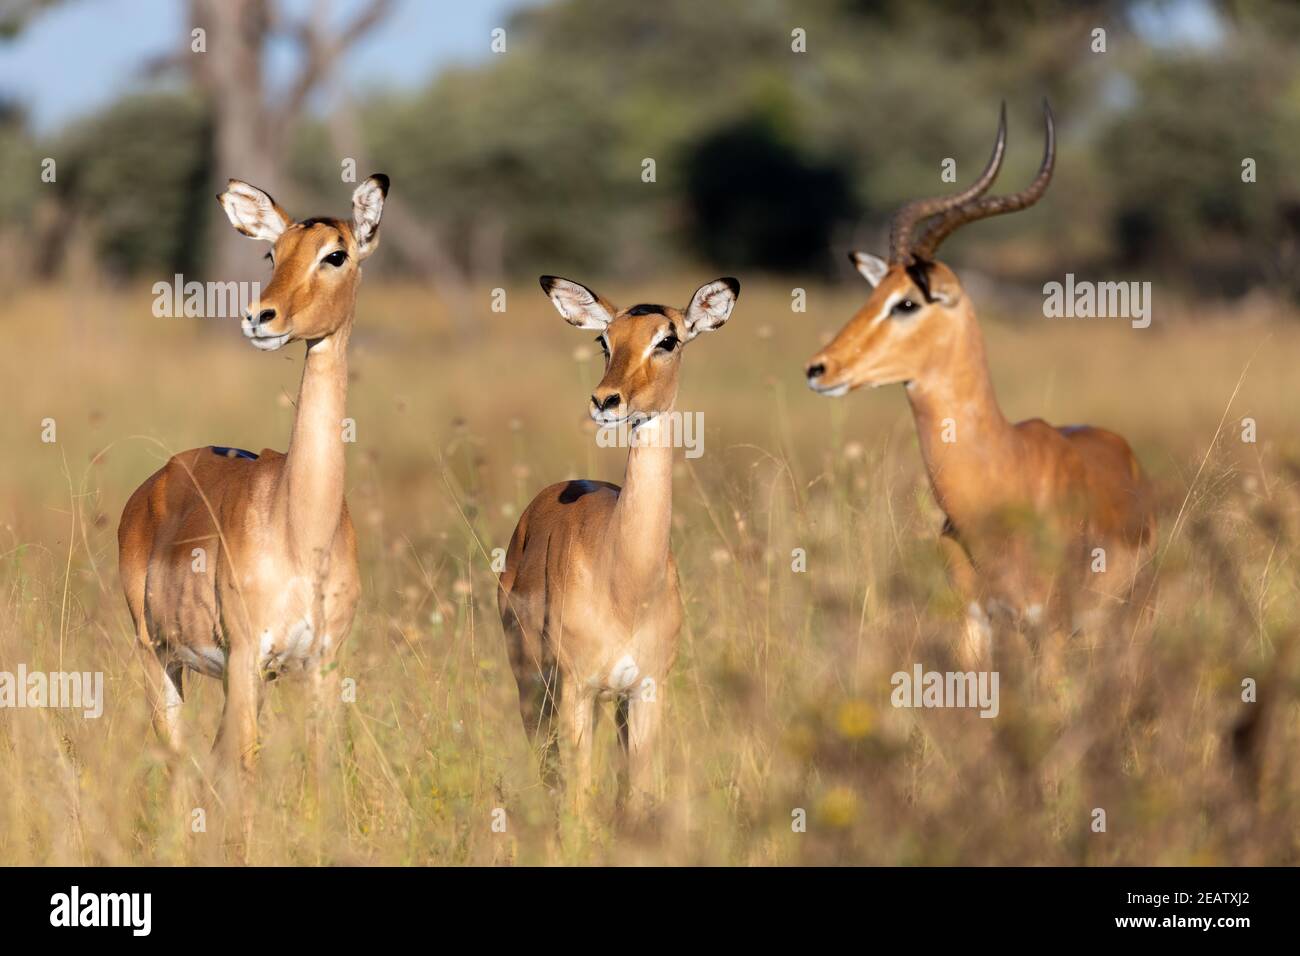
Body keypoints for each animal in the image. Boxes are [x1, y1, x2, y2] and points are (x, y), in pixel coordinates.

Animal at [117, 175, 388, 799]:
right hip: (157, 656)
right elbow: (241, 769)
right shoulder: (244, 658)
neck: (300, 530)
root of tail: (154, 482)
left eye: (335, 253)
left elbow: (320, 770)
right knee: (179, 758)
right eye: (272, 253)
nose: (260, 316)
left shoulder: (321, 664)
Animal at [498, 276, 740, 813]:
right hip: (534, 687)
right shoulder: (577, 689)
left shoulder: (646, 691)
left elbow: (639, 795)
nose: (606, 401)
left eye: (667, 339)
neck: (625, 583)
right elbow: (578, 799)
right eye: (604, 340)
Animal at [804, 102, 1154, 661]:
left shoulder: (1050, 630)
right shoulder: (973, 622)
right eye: (874, 292)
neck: (1001, 477)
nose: (820, 368)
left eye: (907, 302)